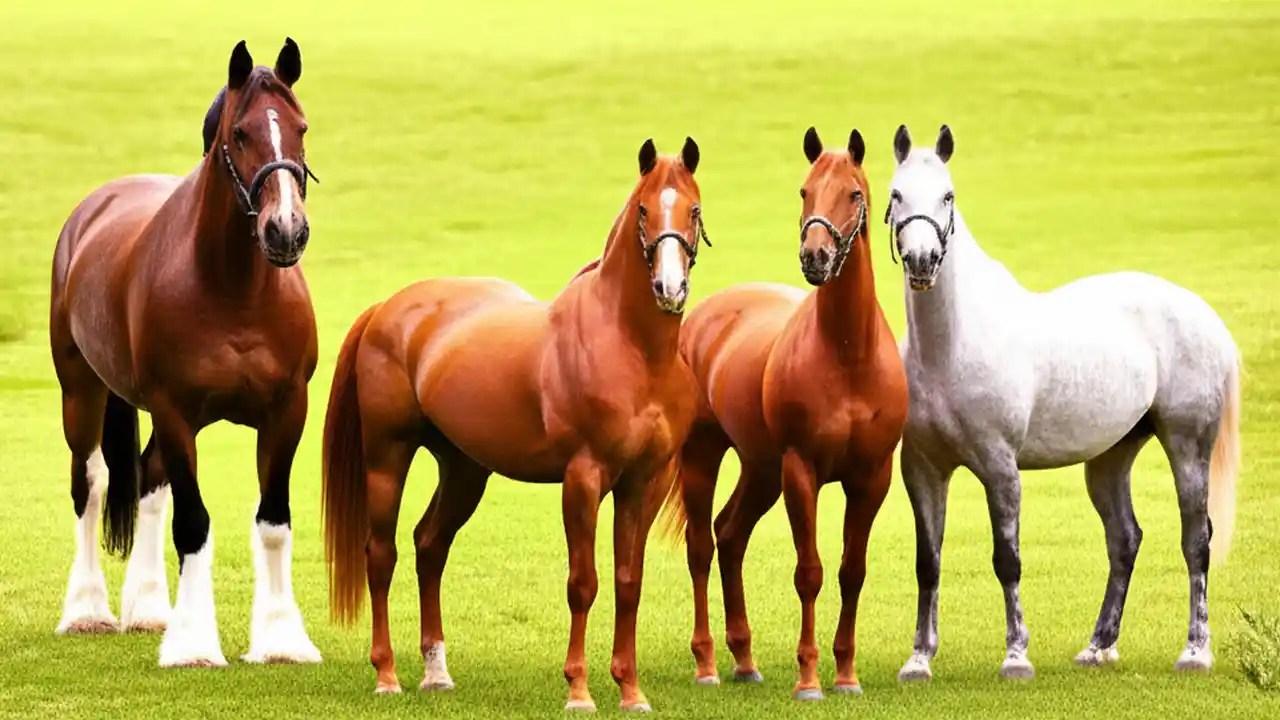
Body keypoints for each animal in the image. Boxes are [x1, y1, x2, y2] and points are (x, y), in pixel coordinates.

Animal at [50, 39, 322, 668]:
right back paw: (87, 610)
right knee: (90, 482)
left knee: (148, 479)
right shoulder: (175, 412)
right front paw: (194, 643)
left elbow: (274, 522)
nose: (286, 230)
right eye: (241, 133)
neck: (232, 291)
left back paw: (150, 608)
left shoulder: (286, 412)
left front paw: (281, 640)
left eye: (300, 127)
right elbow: (193, 524)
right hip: (81, 391)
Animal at [321, 139, 707, 711]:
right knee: (381, 555)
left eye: (693, 209)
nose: (669, 286)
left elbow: (628, 581)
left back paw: (436, 672)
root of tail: (388, 308)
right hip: (388, 458)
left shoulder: (646, 481)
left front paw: (631, 690)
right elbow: (583, 582)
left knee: (429, 546)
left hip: (464, 470)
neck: (634, 349)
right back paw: (387, 674)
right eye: (643, 210)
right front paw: (578, 690)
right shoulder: (583, 478)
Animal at [661, 127, 909, 700]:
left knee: (730, 535)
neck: (847, 355)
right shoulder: (802, 471)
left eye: (854, 194)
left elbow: (852, 571)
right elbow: (810, 572)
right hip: (707, 457)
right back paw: (707, 664)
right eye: (804, 191)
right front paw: (809, 679)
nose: (815, 257)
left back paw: (745, 660)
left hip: (760, 469)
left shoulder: (872, 478)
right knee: (702, 547)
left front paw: (846, 675)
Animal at [887, 125, 1241, 682]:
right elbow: (929, 562)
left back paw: (1194, 651)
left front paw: (1016, 656)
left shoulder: (1000, 468)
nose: (922, 261)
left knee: (1195, 539)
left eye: (948, 196)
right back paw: (1098, 646)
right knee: (1125, 539)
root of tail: (1204, 315)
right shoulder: (922, 469)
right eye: (897, 194)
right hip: (1111, 458)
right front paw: (919, 659)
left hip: (1187, 447)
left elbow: (1006, 559)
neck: (953, 346)